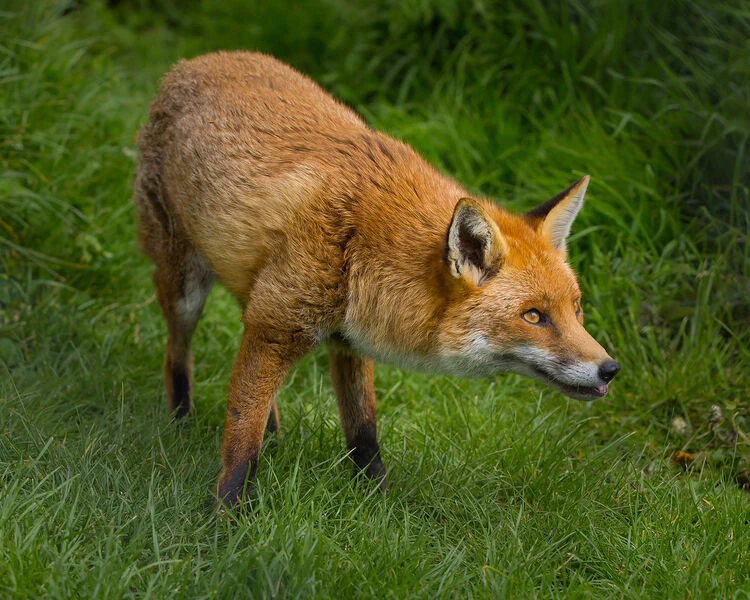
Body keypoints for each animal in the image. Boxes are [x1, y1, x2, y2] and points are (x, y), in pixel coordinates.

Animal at [133, 51, 620, 507]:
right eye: (533, 316)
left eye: (576, 309)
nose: (611, 369)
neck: (365, 244)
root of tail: (195, 62)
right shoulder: (278, 328)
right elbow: (241, 441)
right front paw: (228, 516)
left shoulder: (347, 339)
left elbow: (363, 432)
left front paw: (377, 501)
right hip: (187, 288)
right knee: (177, 354)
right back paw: (181, 422)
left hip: (252, 293)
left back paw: (272, 432)